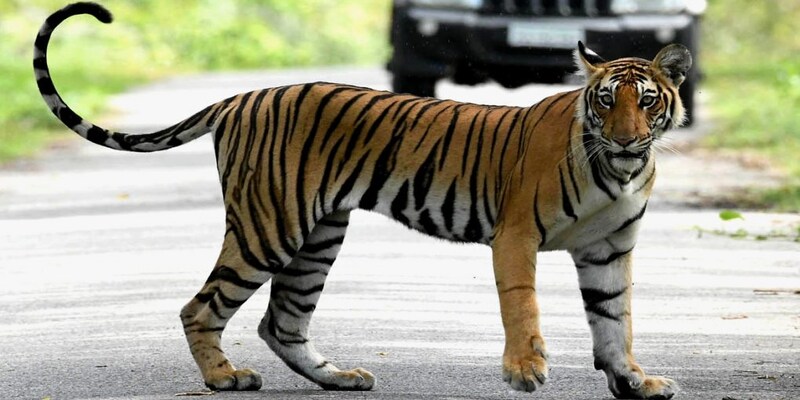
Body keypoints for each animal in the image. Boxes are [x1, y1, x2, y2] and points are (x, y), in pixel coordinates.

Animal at [34, 2, 691, 399]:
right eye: (605, 100)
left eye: (646, 101)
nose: (626, 136)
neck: (621, 168)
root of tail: (240, 97)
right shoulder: (516, 236)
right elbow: (522, 306)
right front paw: (525, 371)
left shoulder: (608, 250)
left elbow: (615, 320)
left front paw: (635, 382)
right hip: (269, 225)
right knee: (201, 307)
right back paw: (226, 377)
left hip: (318, 233)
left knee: (282, 320)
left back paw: (339, 377)